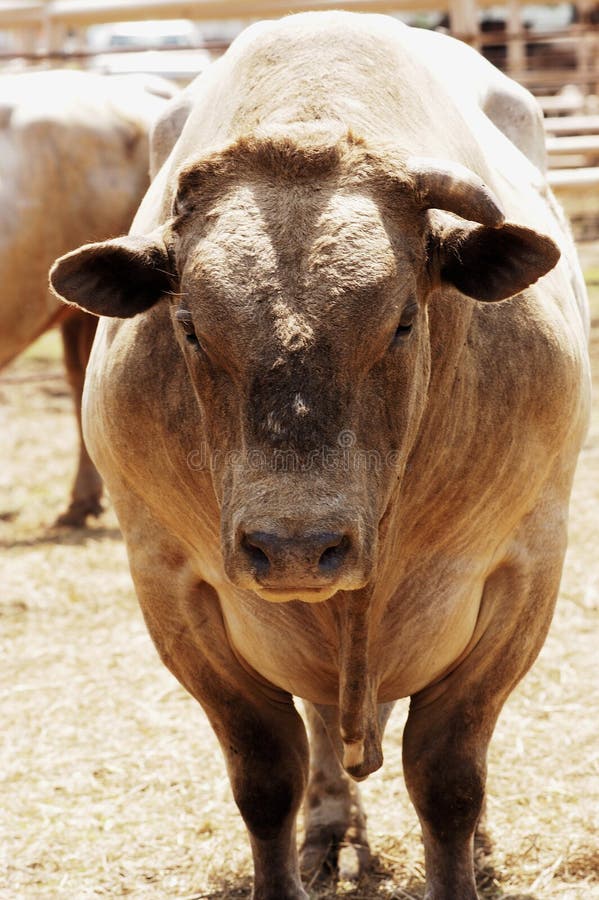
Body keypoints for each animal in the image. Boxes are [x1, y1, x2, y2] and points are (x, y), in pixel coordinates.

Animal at [50, 13, 590, 899]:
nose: (296, 546)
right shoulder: (171, 585)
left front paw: (464, 852)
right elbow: (267, 772)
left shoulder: (522, 570)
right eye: (189, 324)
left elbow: (448, 774)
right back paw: (329, 831)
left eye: (403, 320)